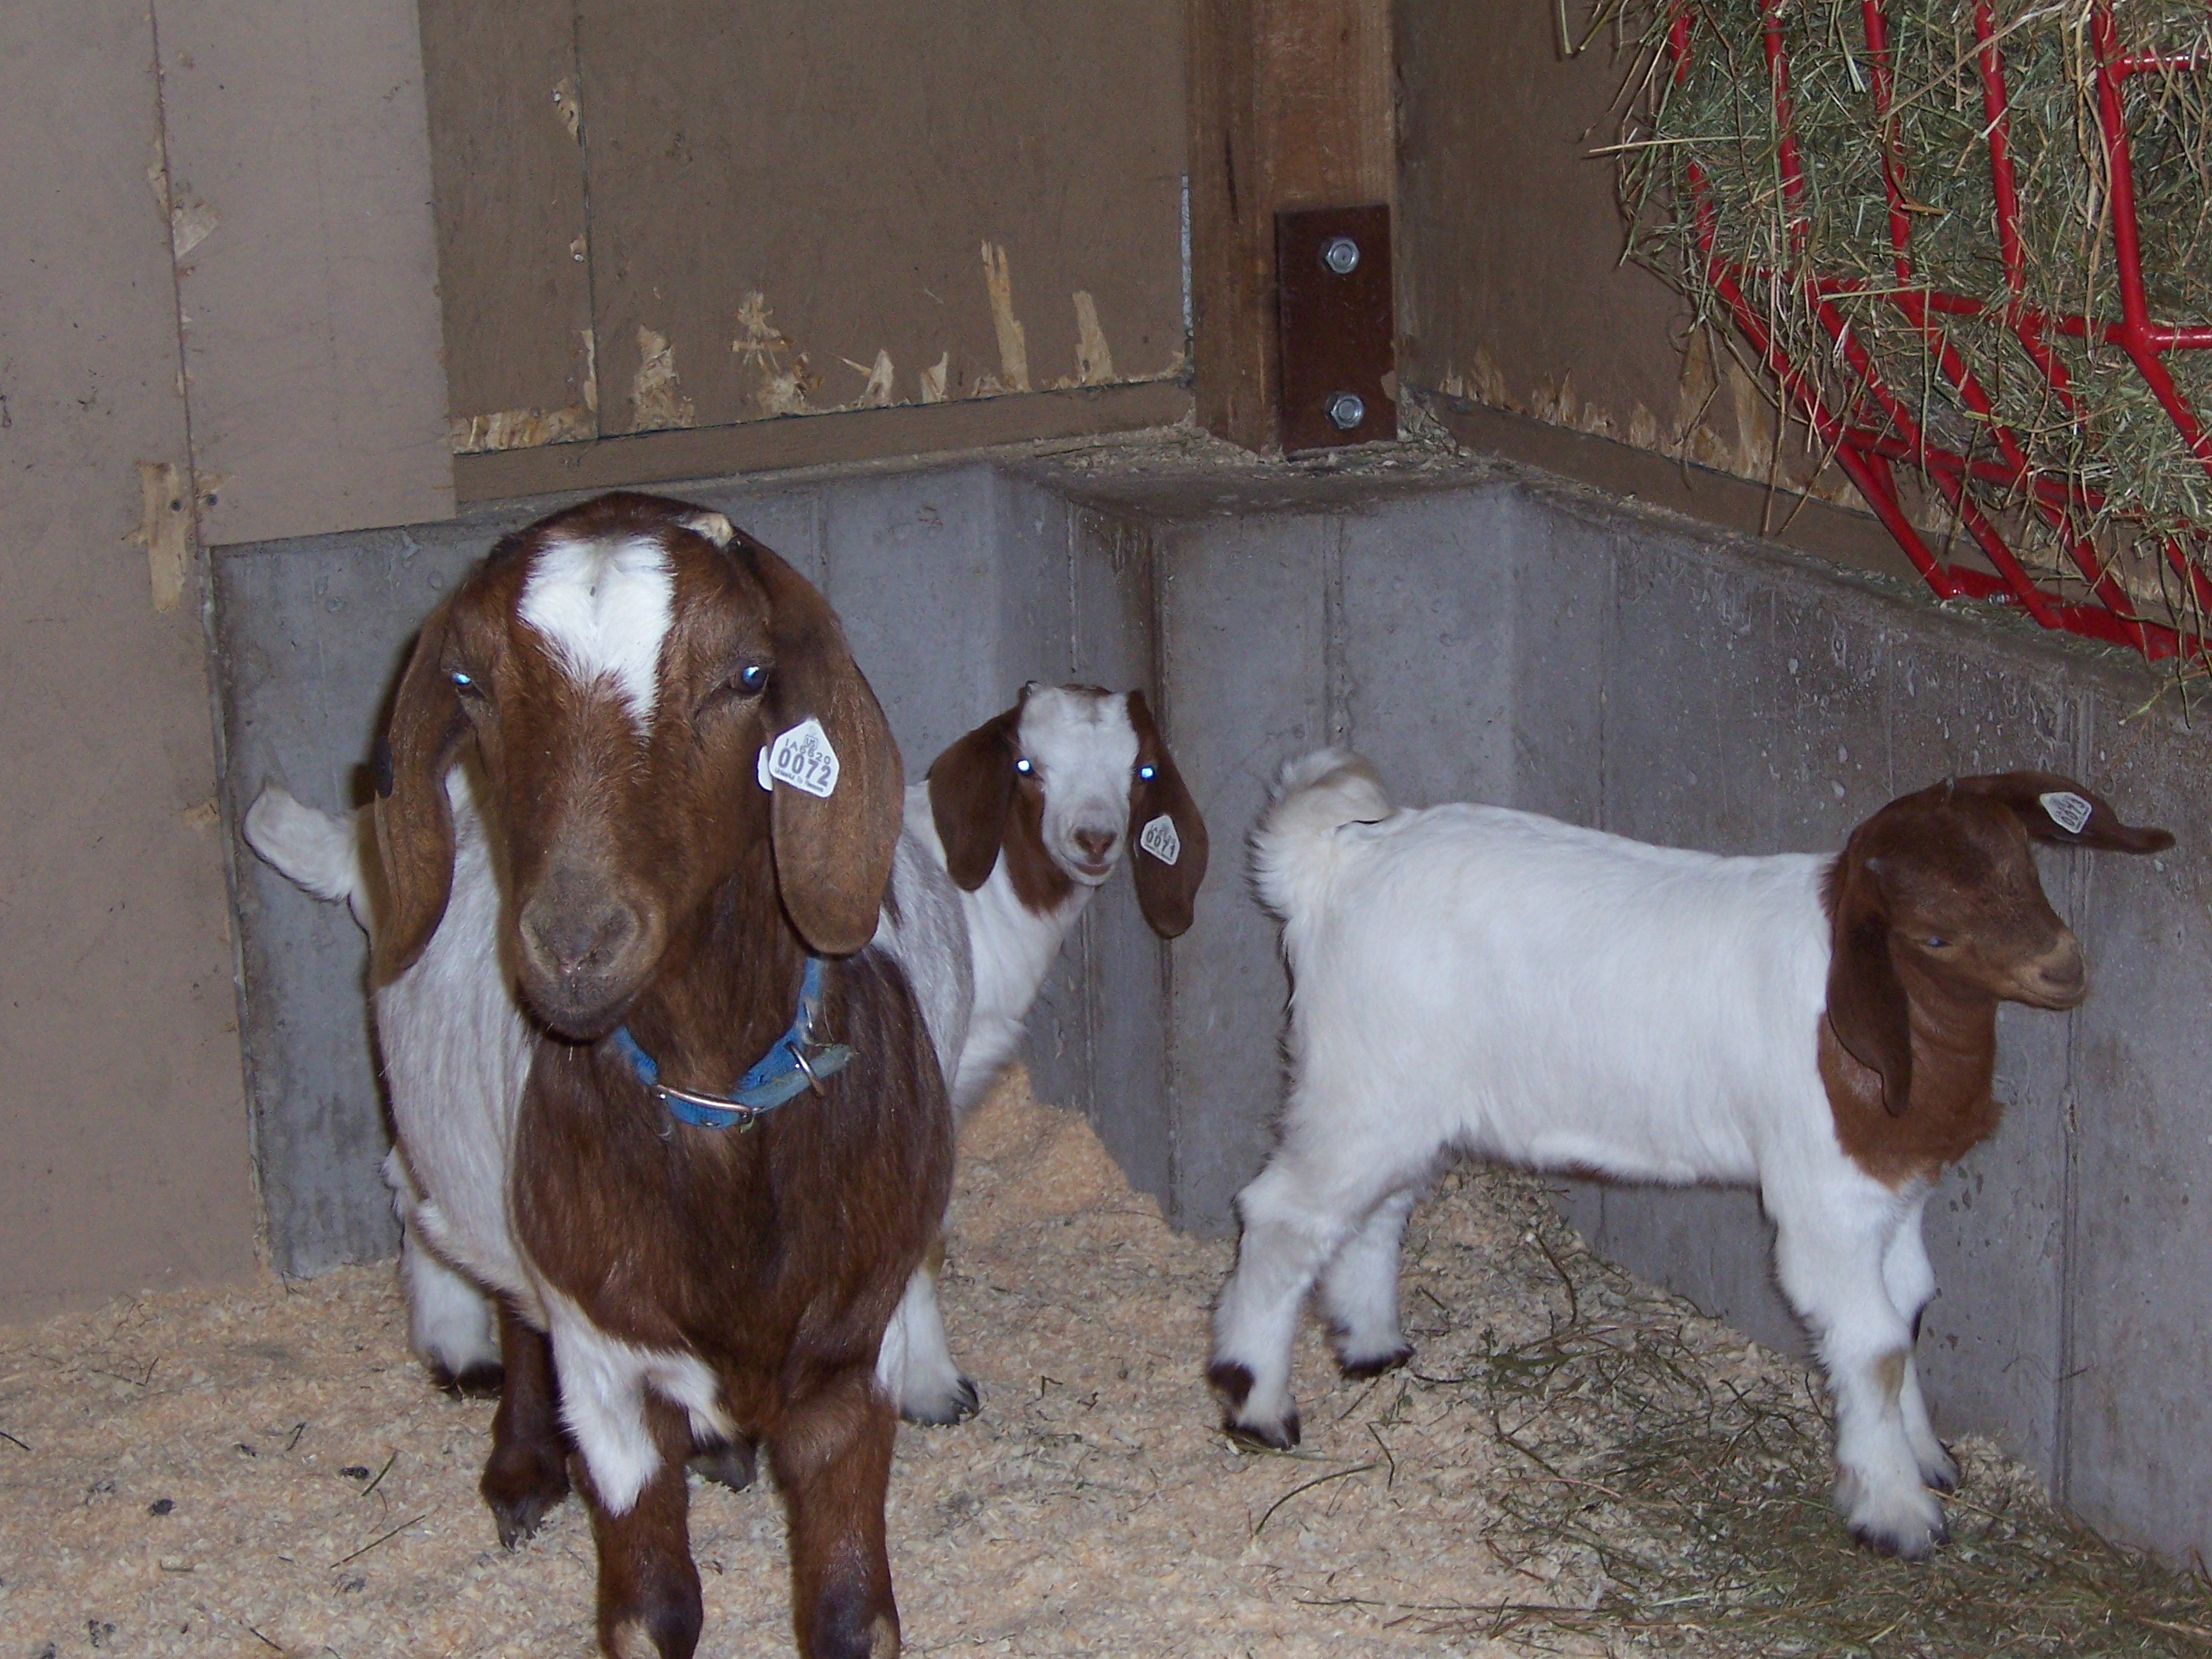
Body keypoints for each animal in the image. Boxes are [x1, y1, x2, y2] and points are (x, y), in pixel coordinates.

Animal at [369, 491, 949, 1658]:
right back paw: (520, 1468)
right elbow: (650, 1610)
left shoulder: (850, 1346)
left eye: (748, 675)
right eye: (468, 681)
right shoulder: (605, 1361)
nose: (576, 941)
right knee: (512, 1309)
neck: (716, 1094)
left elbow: (850, 1614)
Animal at [1211, 751, 2171, 1560]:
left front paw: (1926, 1458)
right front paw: (1895, 1513)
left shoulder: (1894, 1192)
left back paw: (1372, 1344)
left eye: (2025, 869)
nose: (2064, 968)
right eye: (1931, 934)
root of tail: (1333, 860)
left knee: (1372, 1210)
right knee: (1283, 1214)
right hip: (1360, 1088)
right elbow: (1869, 1342)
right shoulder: (1823, 1202)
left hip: (1398, 1098)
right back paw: (1257, 1403)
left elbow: (1908, 1310)